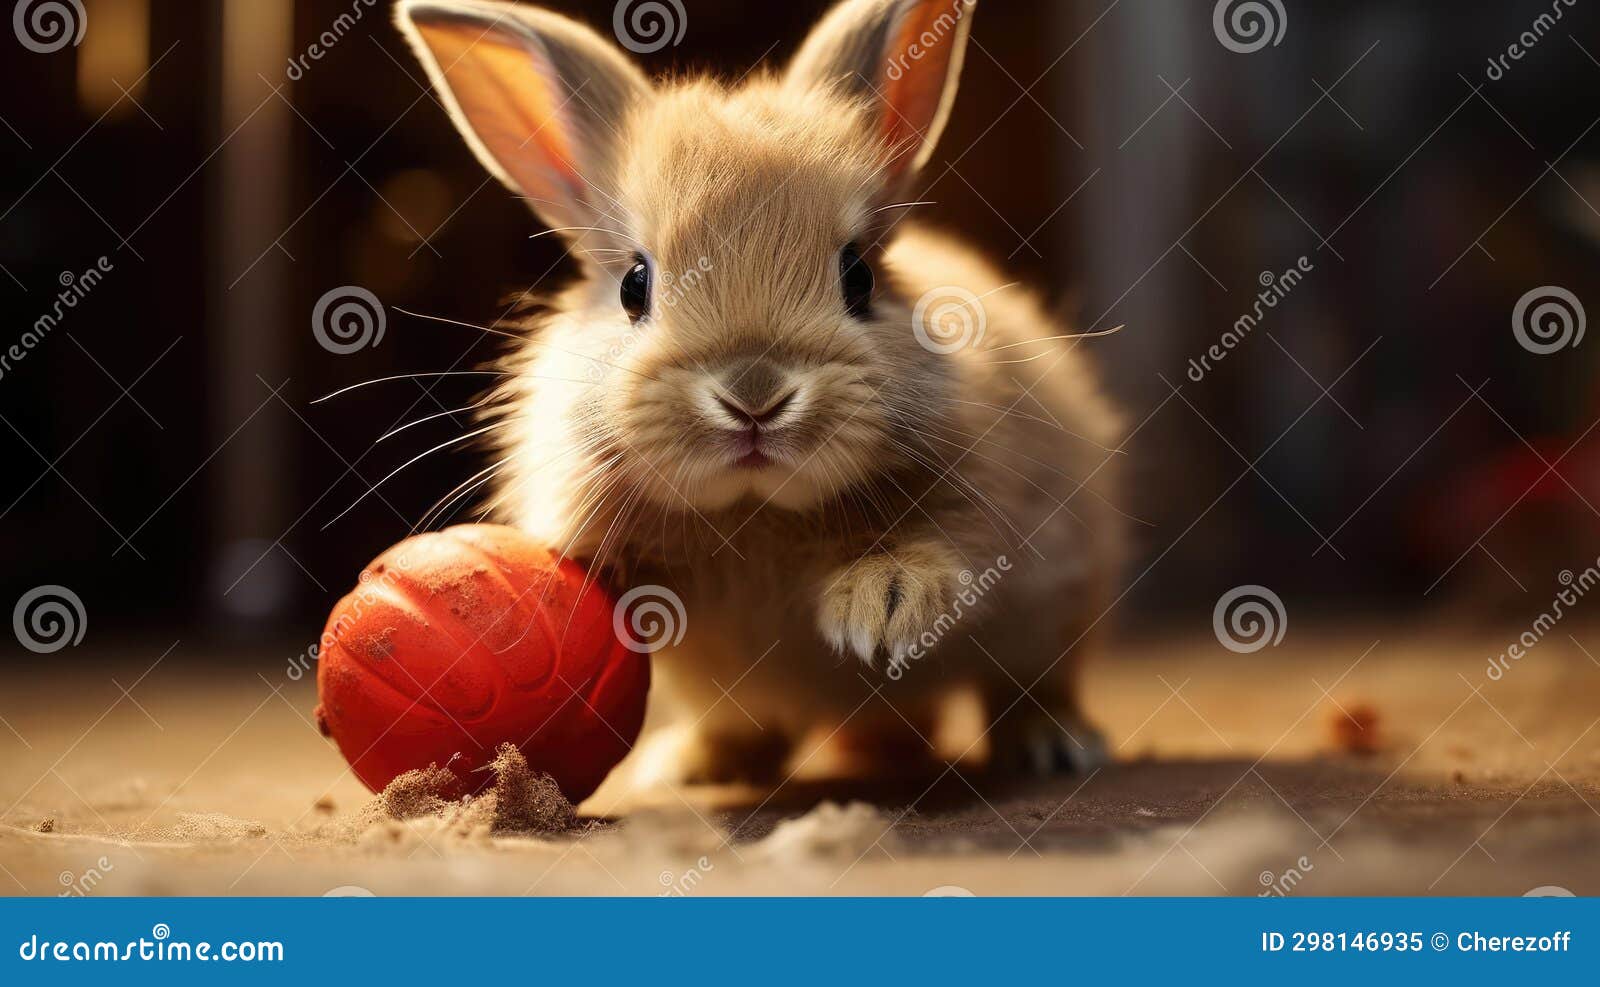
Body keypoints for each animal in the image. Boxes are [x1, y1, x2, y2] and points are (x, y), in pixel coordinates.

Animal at [396, 0, 1123, 784]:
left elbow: (942, 541)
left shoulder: (994, 500)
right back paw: (694, 764)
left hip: (1057, 614)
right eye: (634, 285)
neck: (754, 510)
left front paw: (881, 612)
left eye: (859, 276)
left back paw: (1053, 744)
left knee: (1026, 688)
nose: (754, 395)